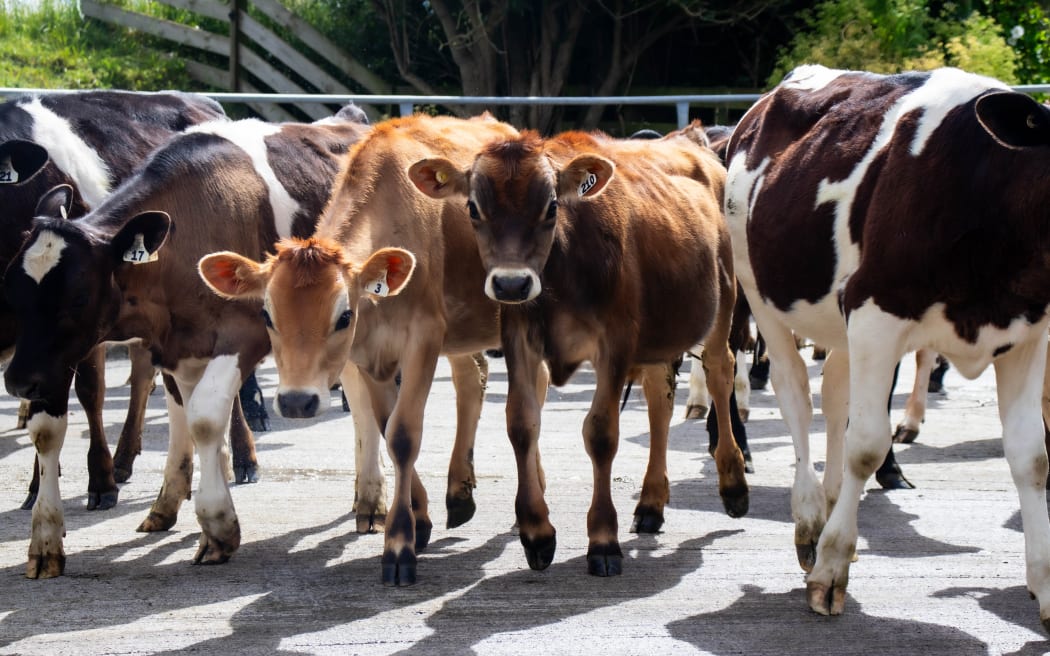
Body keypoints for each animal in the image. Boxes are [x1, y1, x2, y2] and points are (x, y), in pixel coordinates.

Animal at [199, 113, 522, 587]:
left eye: (343, 316)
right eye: (267, 315)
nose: (296, 401)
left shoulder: (423, 338)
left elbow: (405, 435)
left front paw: (400, 545)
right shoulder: (372, 357)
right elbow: (386, 429)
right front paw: (420, 521)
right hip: (461, 333)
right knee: (471, 380)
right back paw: (459, 493)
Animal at [409, 127, 749, 577]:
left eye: (552, 205)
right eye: (473, 208)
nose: (511, 283)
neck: (561, 270)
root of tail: (690, 140)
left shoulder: (615, 342)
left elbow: (601, 433)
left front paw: (603, 539)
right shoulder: (519, 336)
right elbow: (522, 424)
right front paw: (536, 532)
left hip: (723, 301)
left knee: (720, 372)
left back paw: (733, 484)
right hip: (658, 334)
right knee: (659, 400)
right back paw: (651, 502)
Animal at [724, 64, 1050, 628]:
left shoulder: (1028, 332)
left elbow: (1031, 457)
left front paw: (1047, 590)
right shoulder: (876, 312)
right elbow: (866, 445)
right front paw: (830, 569)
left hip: (839, 324)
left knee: (834, 395)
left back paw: (832, 501)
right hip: (761, 289)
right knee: (795, 395)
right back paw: (810, 520)